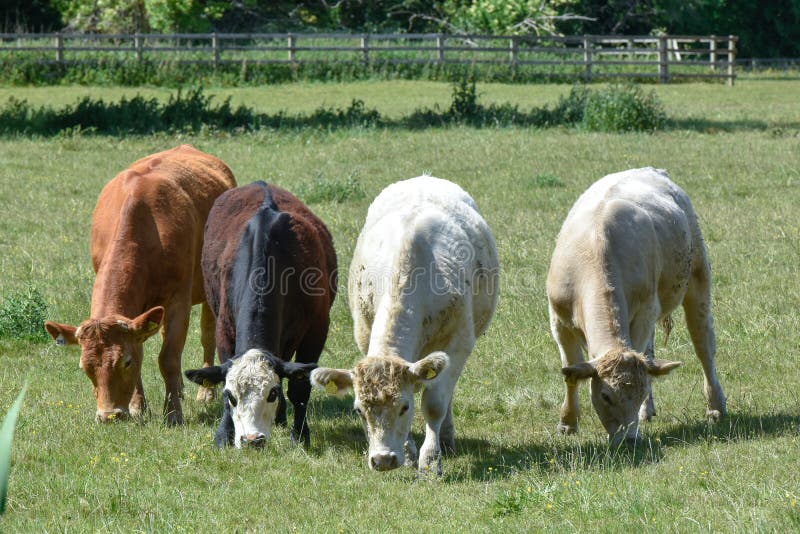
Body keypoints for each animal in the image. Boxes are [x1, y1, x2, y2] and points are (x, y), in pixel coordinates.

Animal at [44, 145, 236, 425]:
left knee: (207, 334)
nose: (109, 415)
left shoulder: (179, 299)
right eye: (85, 367)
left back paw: (205, 393)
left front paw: (173, 413)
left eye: (125, 362)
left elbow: (168, 357)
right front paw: (138, 406)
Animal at [184, 181, 337, 448]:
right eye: (231, 395)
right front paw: (224, 435)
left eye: (271, 393)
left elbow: (299, 387)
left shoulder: (316, 331)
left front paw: (300, 436)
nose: (252, 439)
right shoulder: (224, 328)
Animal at [311, 176, 499, 475]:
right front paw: (410, 454)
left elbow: (435, 404)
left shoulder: (459, 342)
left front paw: (430, 461)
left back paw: (446, 438)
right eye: (358, 411)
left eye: (404, 407)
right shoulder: (364, 334)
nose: (383, 459)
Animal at [546, 167, 727, 446]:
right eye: (606, 396)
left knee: (703, 345)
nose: (629, 439)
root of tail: (651, 170)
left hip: (698, 277)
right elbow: (571, 372)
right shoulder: (557, 319)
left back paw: (715, 406)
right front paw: (567, 422)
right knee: (652, 354)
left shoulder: (645, 311)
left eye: (640, 392)